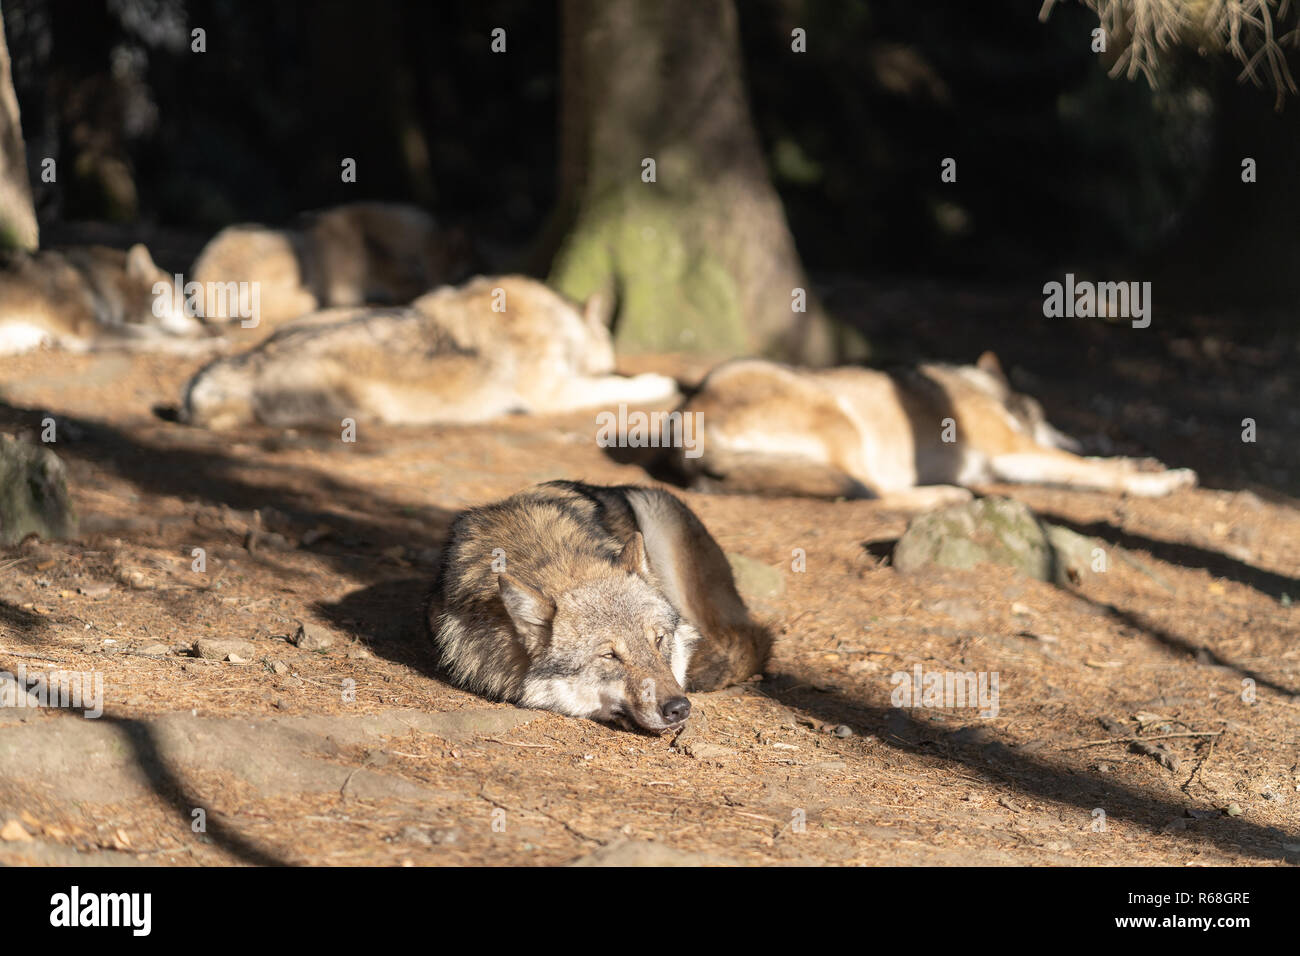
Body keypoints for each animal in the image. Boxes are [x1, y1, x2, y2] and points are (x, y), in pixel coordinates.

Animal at [0, 244, 209, 355]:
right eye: (183, 304)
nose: (206, 328)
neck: (91, 279)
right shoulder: (87, 328)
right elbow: (159, 334)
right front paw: (206, 343)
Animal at [673, 353, 1196, 504]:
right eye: (1043, 417)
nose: (1071, 434)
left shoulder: (1008, 461)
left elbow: (1093, 464)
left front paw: (1147, 464)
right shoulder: (1012, 448)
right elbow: (1095, 470)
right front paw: (1156, 482)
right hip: (840, 418)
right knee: (875, 495)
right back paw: (944, 497)